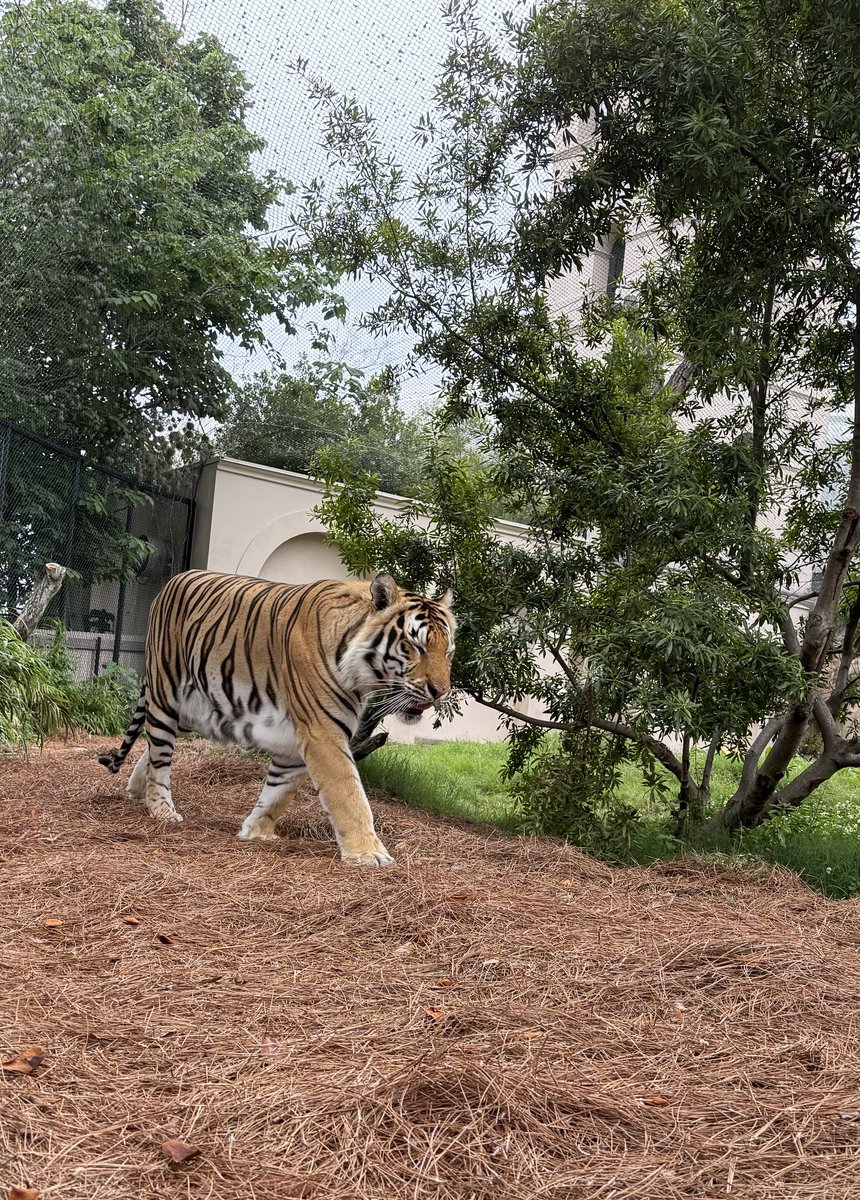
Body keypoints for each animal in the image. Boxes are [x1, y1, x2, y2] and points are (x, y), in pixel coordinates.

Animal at [99, 569, 455, 867]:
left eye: (448, 651)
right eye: (415, 646)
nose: (441, 691)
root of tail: (173, 580)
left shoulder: (299, 737)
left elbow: (278, 792)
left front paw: (255, 832)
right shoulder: (322, 731)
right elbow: (348, 794)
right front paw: (369, 854)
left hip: (193, 708)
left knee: (156, 743)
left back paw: (137, 788)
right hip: (166, 691)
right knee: (160, 751)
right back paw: (160, 806)